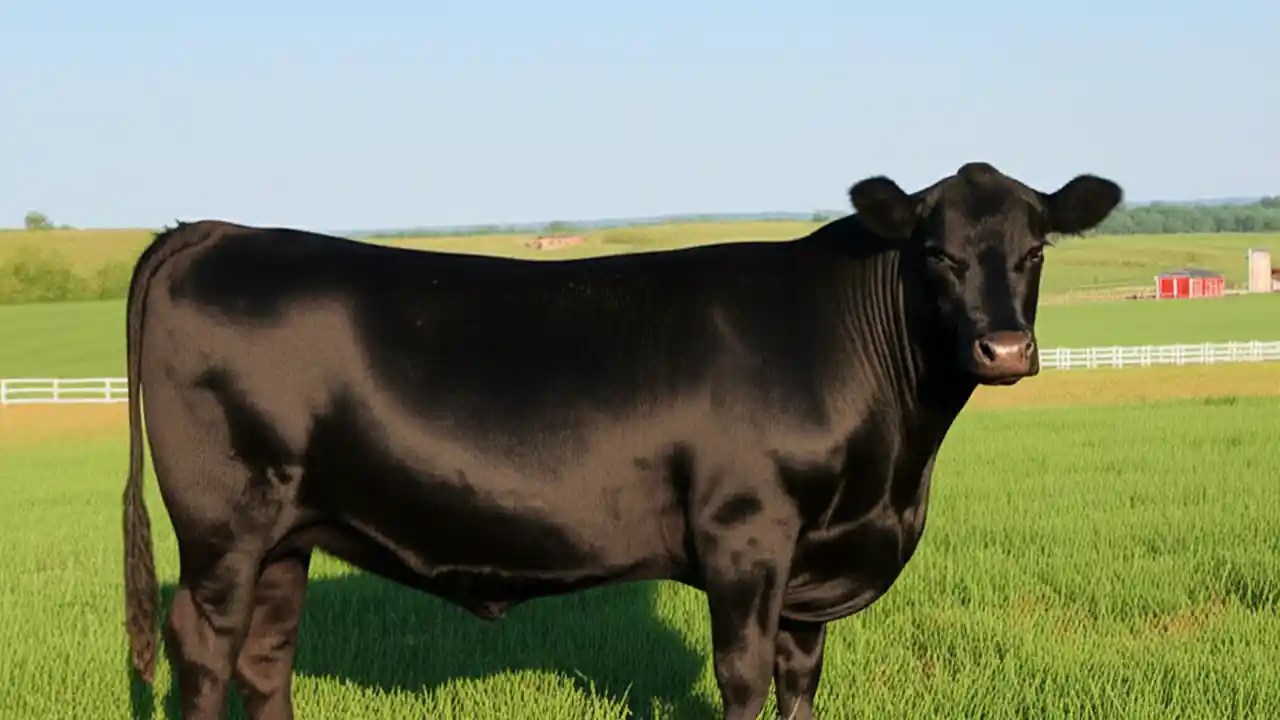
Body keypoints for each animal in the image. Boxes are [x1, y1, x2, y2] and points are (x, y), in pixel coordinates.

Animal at [121, 161, 1121, 719]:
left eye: (1036, 250)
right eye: (936, 253)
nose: (1006, 349)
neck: (895, 473)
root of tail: (216, 231)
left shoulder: (817, 556)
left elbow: (800, 682)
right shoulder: (746, 532)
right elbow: (742, 678)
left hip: (289, 529)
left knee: (266, 654)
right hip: (224, 522)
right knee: (204, 647)